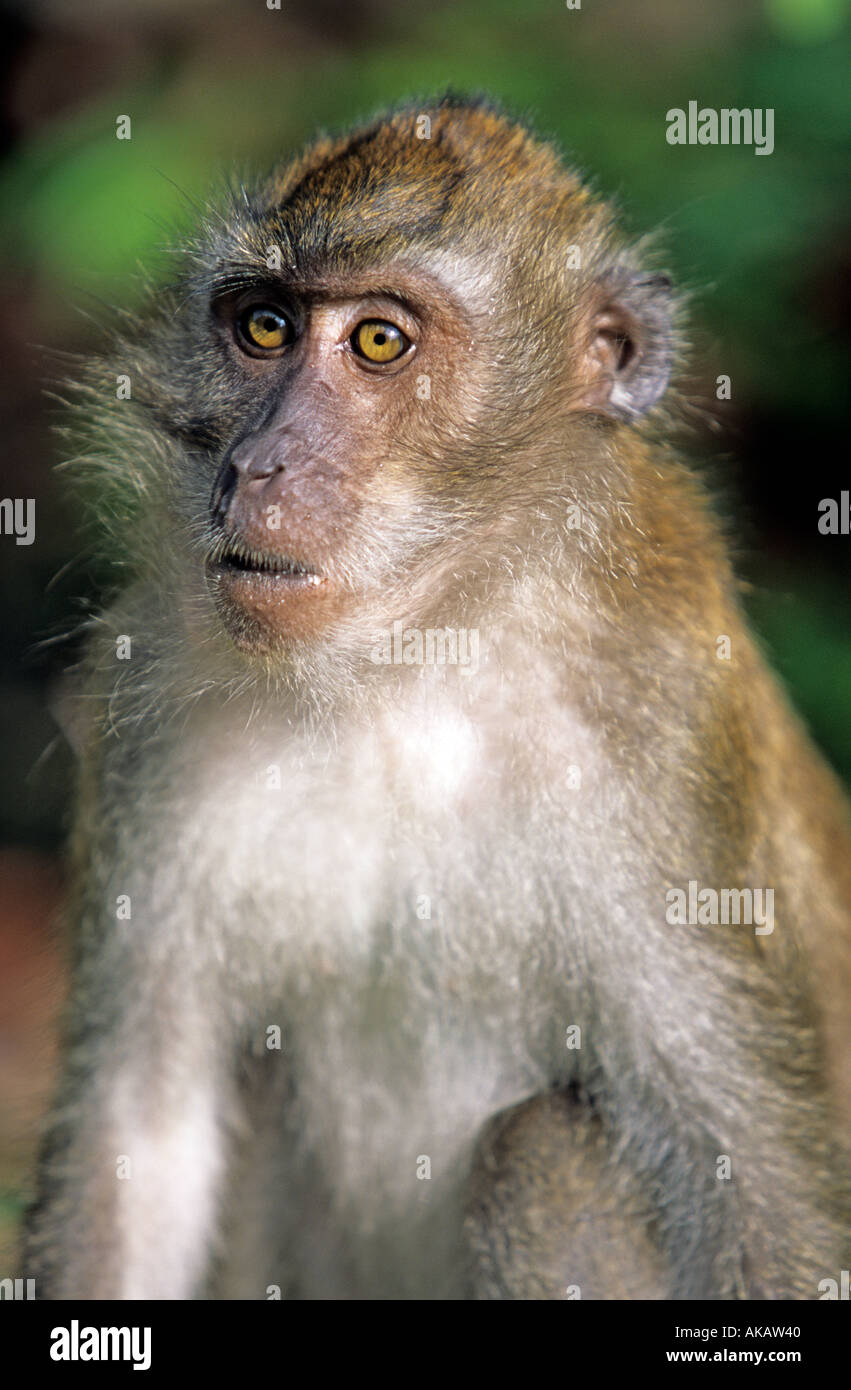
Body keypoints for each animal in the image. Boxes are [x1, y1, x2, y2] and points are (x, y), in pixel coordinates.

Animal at [22, 95, 851, 1300]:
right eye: (262, 327)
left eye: (379, 342)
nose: (257, 467)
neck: (410, 657)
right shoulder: (152, 699)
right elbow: (141, 1127)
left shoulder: (655, 712)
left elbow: (759, 1190)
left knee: (541, 1151)